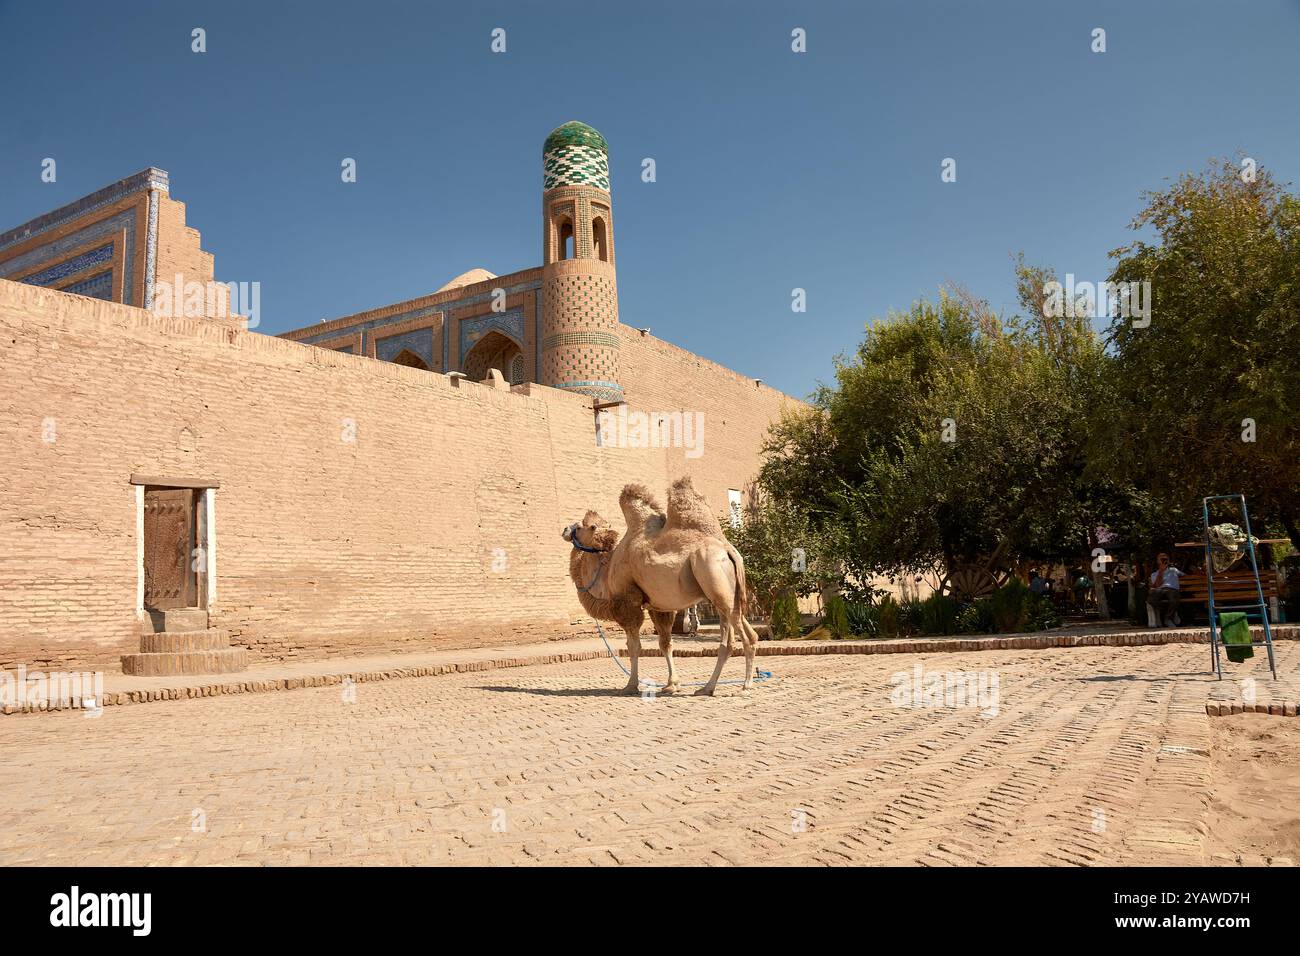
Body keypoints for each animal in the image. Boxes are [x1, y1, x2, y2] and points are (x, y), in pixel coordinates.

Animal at [563, 476, 761, 696]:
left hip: (716, 585)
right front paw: (671, 685)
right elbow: (665, 643)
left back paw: (745, 686)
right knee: (734, 639)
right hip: (730, 595)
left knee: (746, 637)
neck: (607, 566)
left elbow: (634, 646)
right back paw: (706, 688)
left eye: (581, 526)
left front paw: (630, 685)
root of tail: (728, 550)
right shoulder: (658, 606)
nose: (565, 530)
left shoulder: (628, 601)